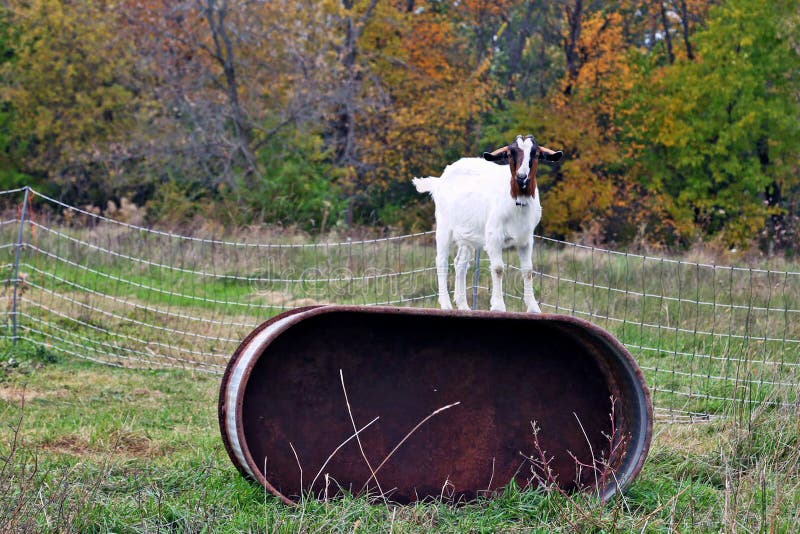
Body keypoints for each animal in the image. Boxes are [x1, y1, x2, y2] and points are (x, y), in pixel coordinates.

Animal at [413, 135, 563, 312]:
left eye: (537, 154)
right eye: (509, 154)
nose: (521, 177)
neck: (518, 200)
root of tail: (439, 181)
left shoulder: (526, 239)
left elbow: (528, 270)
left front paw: (533, 308)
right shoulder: (493, 236)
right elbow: (498, 268)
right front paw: (498, 306)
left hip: (468, 234)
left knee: (460, 263)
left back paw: (463, 306)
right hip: (444, 226)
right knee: (441, 261)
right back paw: (446, 304)